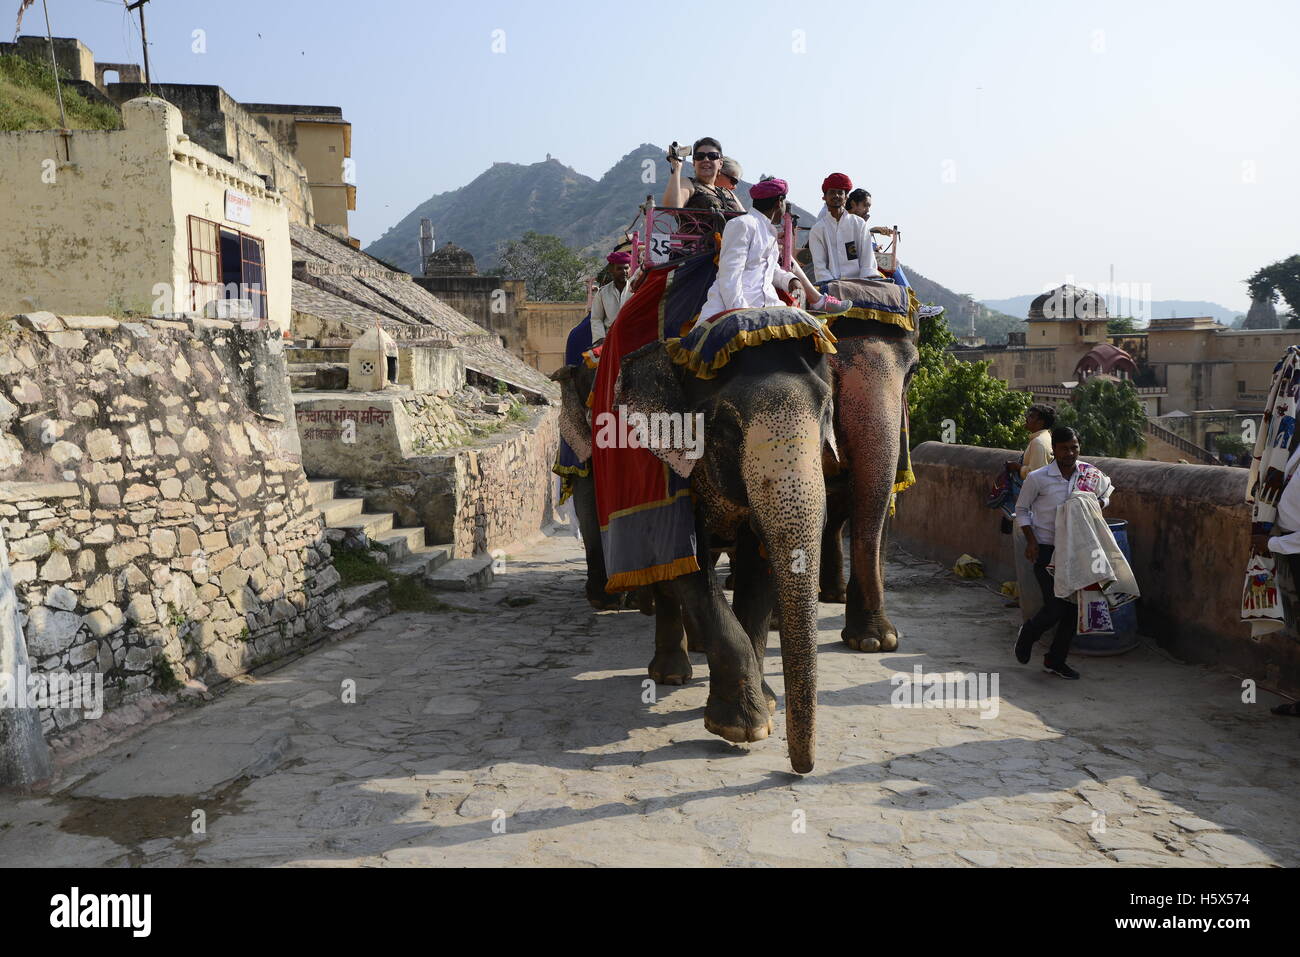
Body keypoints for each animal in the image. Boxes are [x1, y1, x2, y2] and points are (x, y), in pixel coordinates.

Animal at [617, 332, 834, 774]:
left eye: (827, 412)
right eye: (725, 427)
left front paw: (767, 704)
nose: (802, 769)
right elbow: (686, 559)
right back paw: (671, 674)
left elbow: (759, 567)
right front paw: (744, 726)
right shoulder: (666, 468)